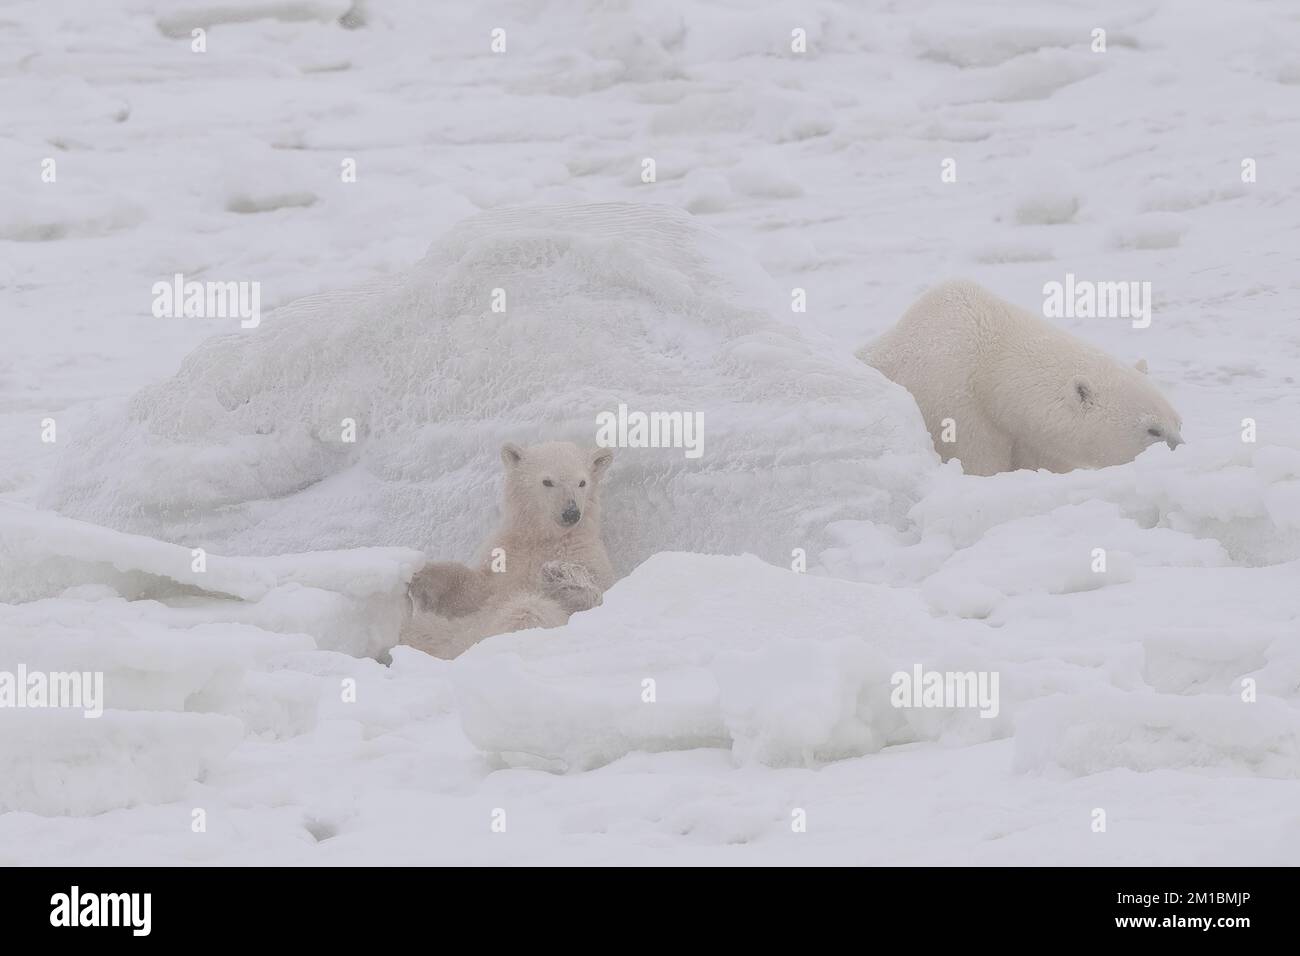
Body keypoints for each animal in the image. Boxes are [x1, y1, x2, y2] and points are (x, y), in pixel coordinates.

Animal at [398, 441, 615, 659]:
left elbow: (594, 596)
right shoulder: (506, 552)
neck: (544, 538)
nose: (571, 513)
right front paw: (421, 577)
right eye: (547, 481)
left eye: (582, 482)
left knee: (528, 610)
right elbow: (473, 591)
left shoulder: (586, 553)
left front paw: (561, 575)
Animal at [858, 280, 1183, 476]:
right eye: (1153, 429)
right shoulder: (955, 407)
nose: (1180, 447)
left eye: (1179, 422)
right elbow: (978, 463)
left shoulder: (1034, 439)